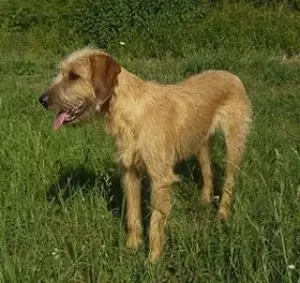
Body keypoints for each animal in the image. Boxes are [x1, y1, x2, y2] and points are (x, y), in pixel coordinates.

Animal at [38, 47, 252, 262]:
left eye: (74, 76)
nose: (42, 100)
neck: (131, 112)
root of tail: (231, 75)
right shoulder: (129, 172)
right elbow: (132, 216)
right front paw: (132, 248)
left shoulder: (160, 178)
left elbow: (155, 224)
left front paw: (152, 260)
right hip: (201, 143)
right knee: (208, 172)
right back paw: (204, 201)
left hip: (234, 144)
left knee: (229, 181)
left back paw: (222, 215)